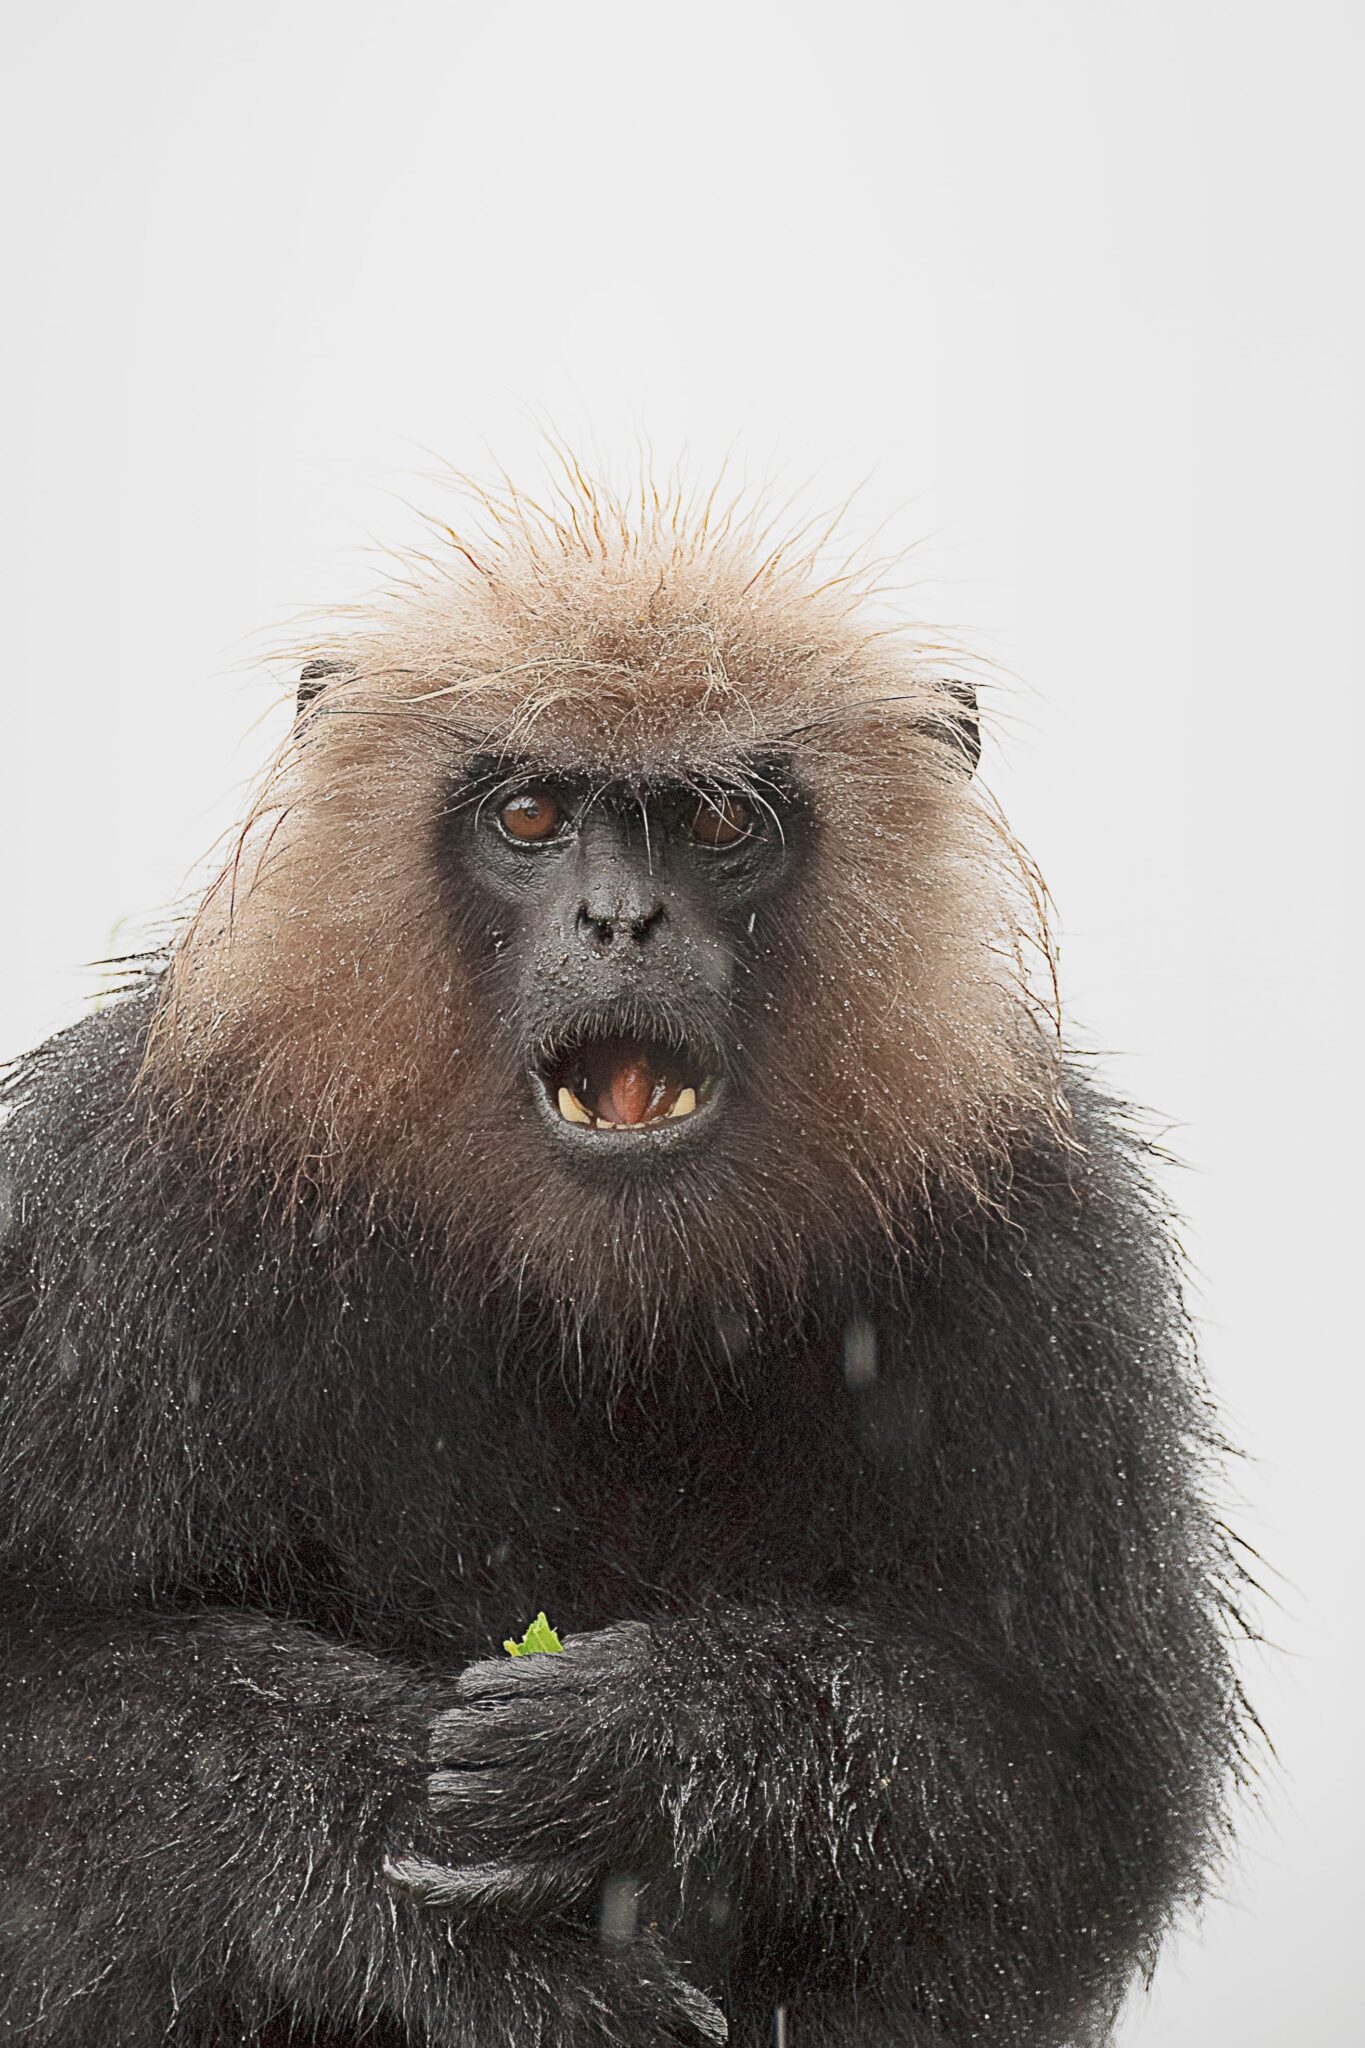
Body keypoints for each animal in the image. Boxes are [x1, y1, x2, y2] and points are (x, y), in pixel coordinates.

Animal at [0, 469, 1250, 2048]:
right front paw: (408, 1806)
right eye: (532, 813)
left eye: (715, 819)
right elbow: (49, 1683)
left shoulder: (1049, 1258)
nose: (619, 918)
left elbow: (1076, 1787)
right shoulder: (121, 1195)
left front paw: (641, 1741)